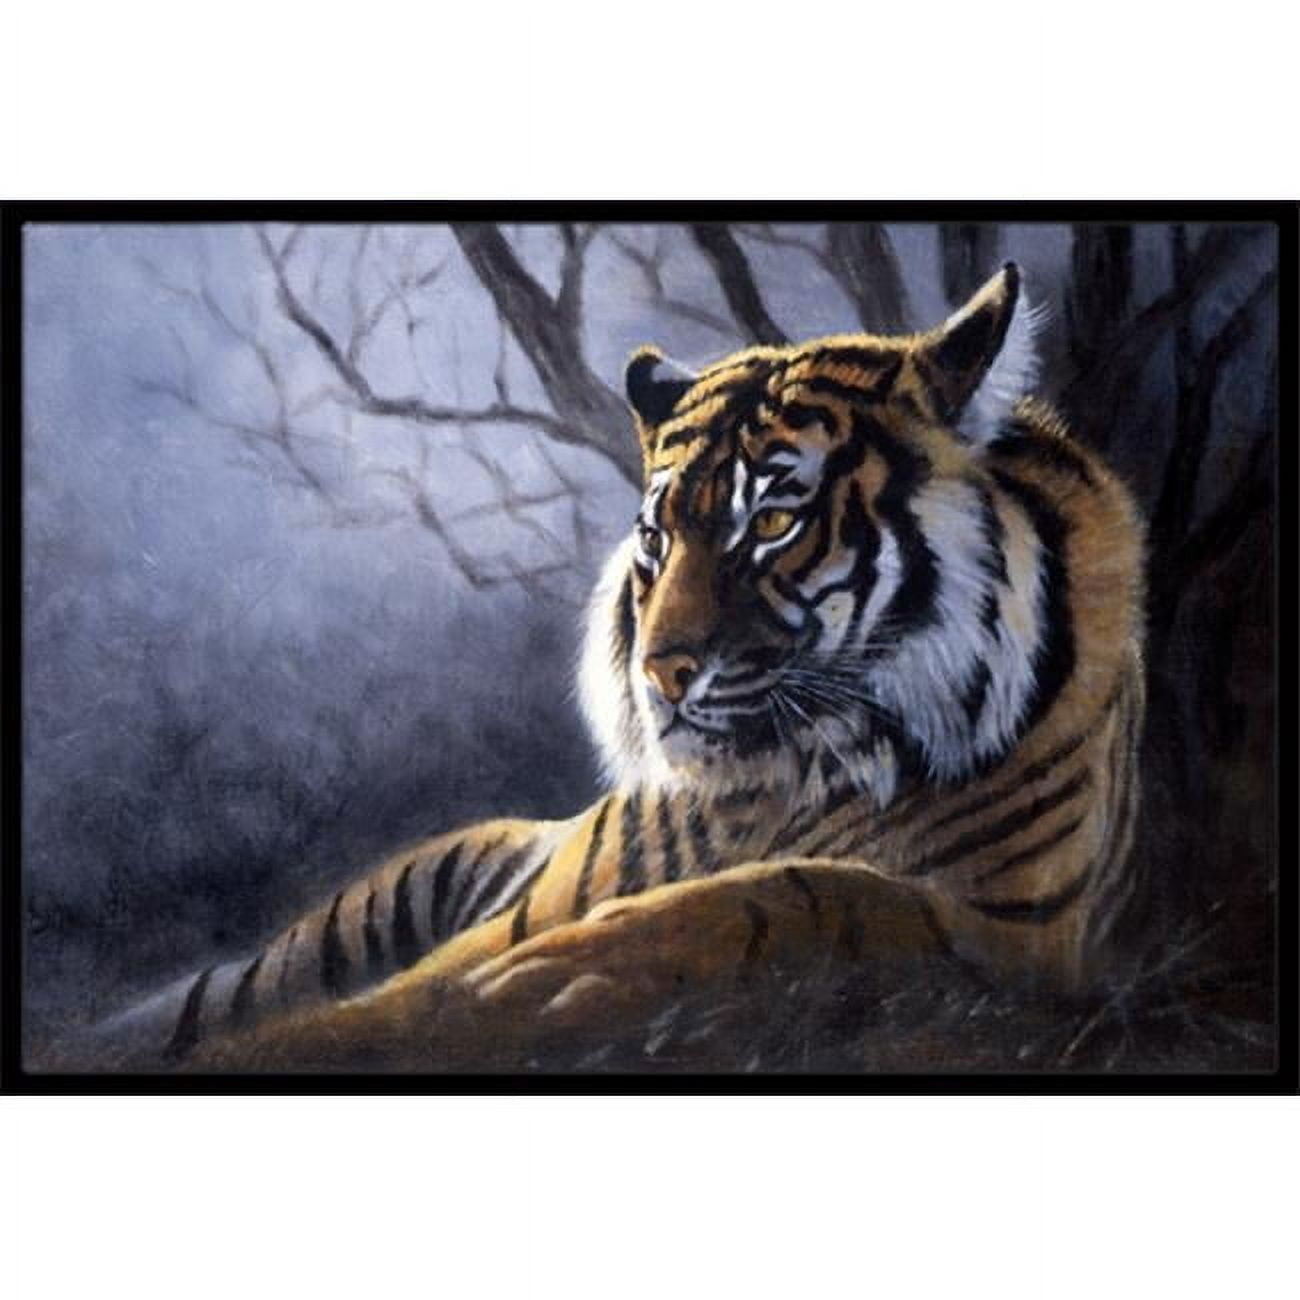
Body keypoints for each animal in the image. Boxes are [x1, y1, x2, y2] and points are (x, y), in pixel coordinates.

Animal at [74, 262, 1146, 1072]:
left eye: (773, 520)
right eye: (657, 538)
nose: (663, 675)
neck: (791, 779)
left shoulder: (1026, 933)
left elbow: (822, 894)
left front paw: (550, 984)